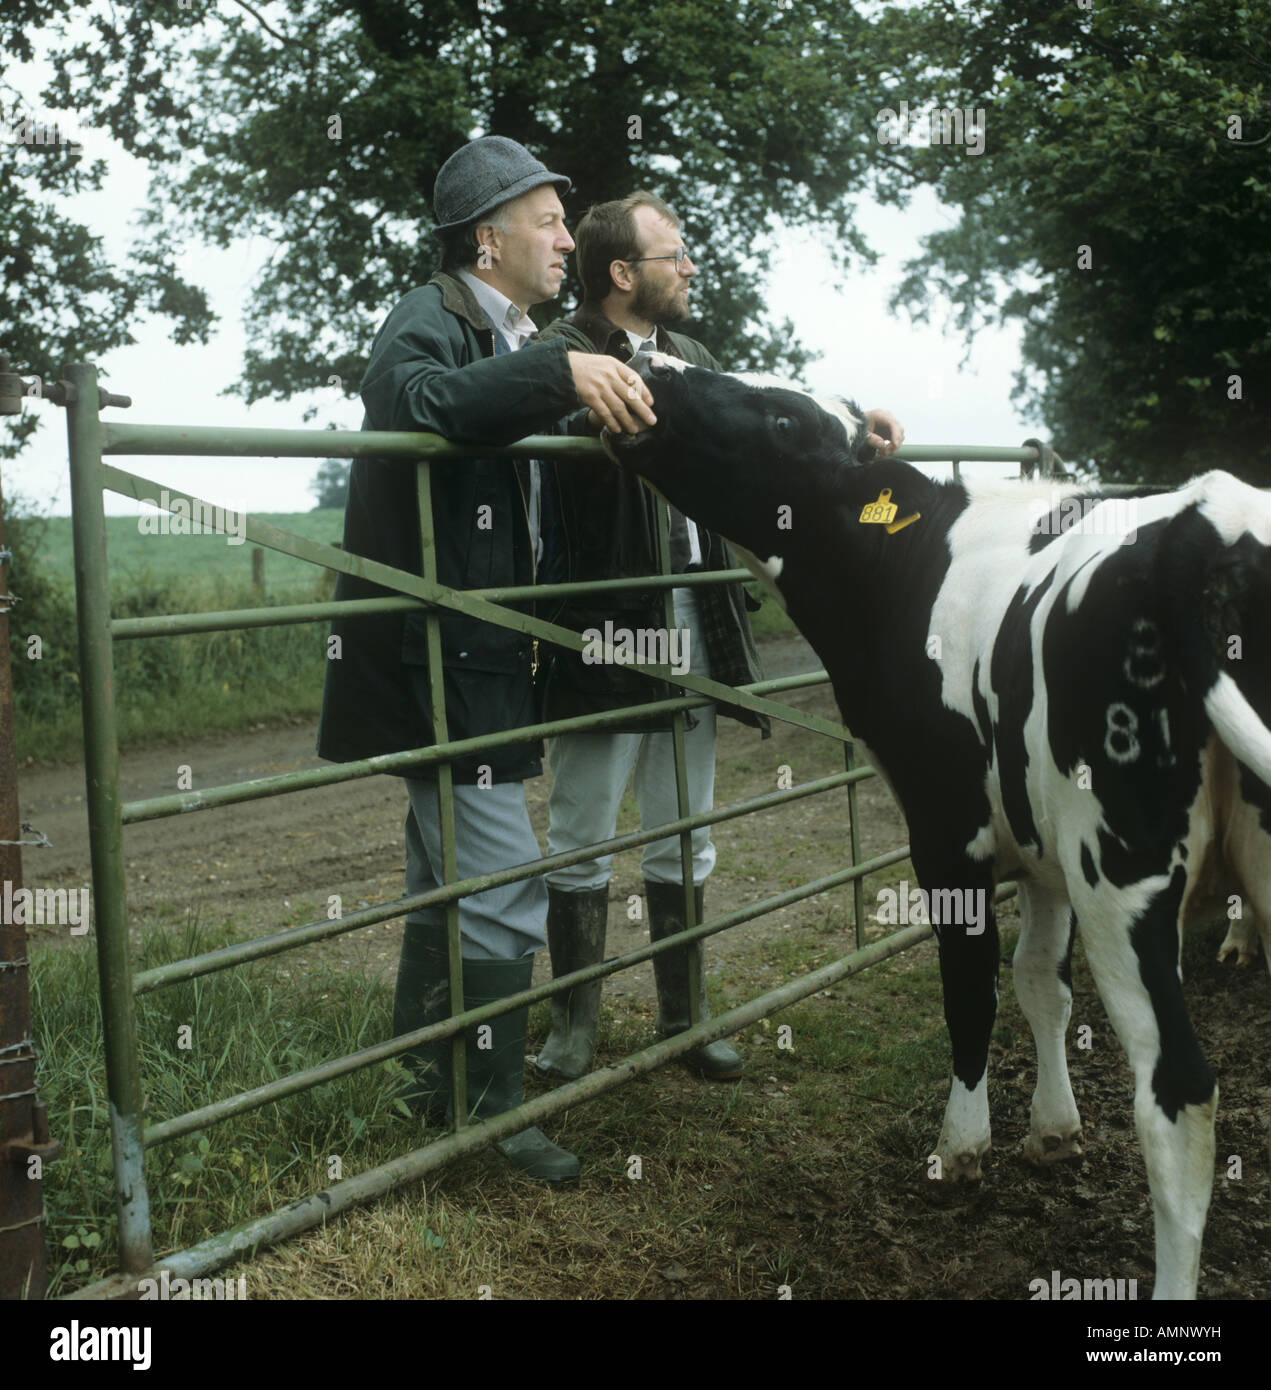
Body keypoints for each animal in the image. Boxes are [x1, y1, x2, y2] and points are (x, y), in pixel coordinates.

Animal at [602, 352, 1271, 1300]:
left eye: (779, 419)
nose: (641, 362)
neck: (912, 570)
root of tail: (1210, 520)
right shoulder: (1037, 844)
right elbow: (1040, 984)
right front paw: (1052, 1132)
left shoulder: (948, 834)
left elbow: (971, 992)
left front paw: (960, 1151)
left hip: (1121, 876)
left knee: (1177, 1094)